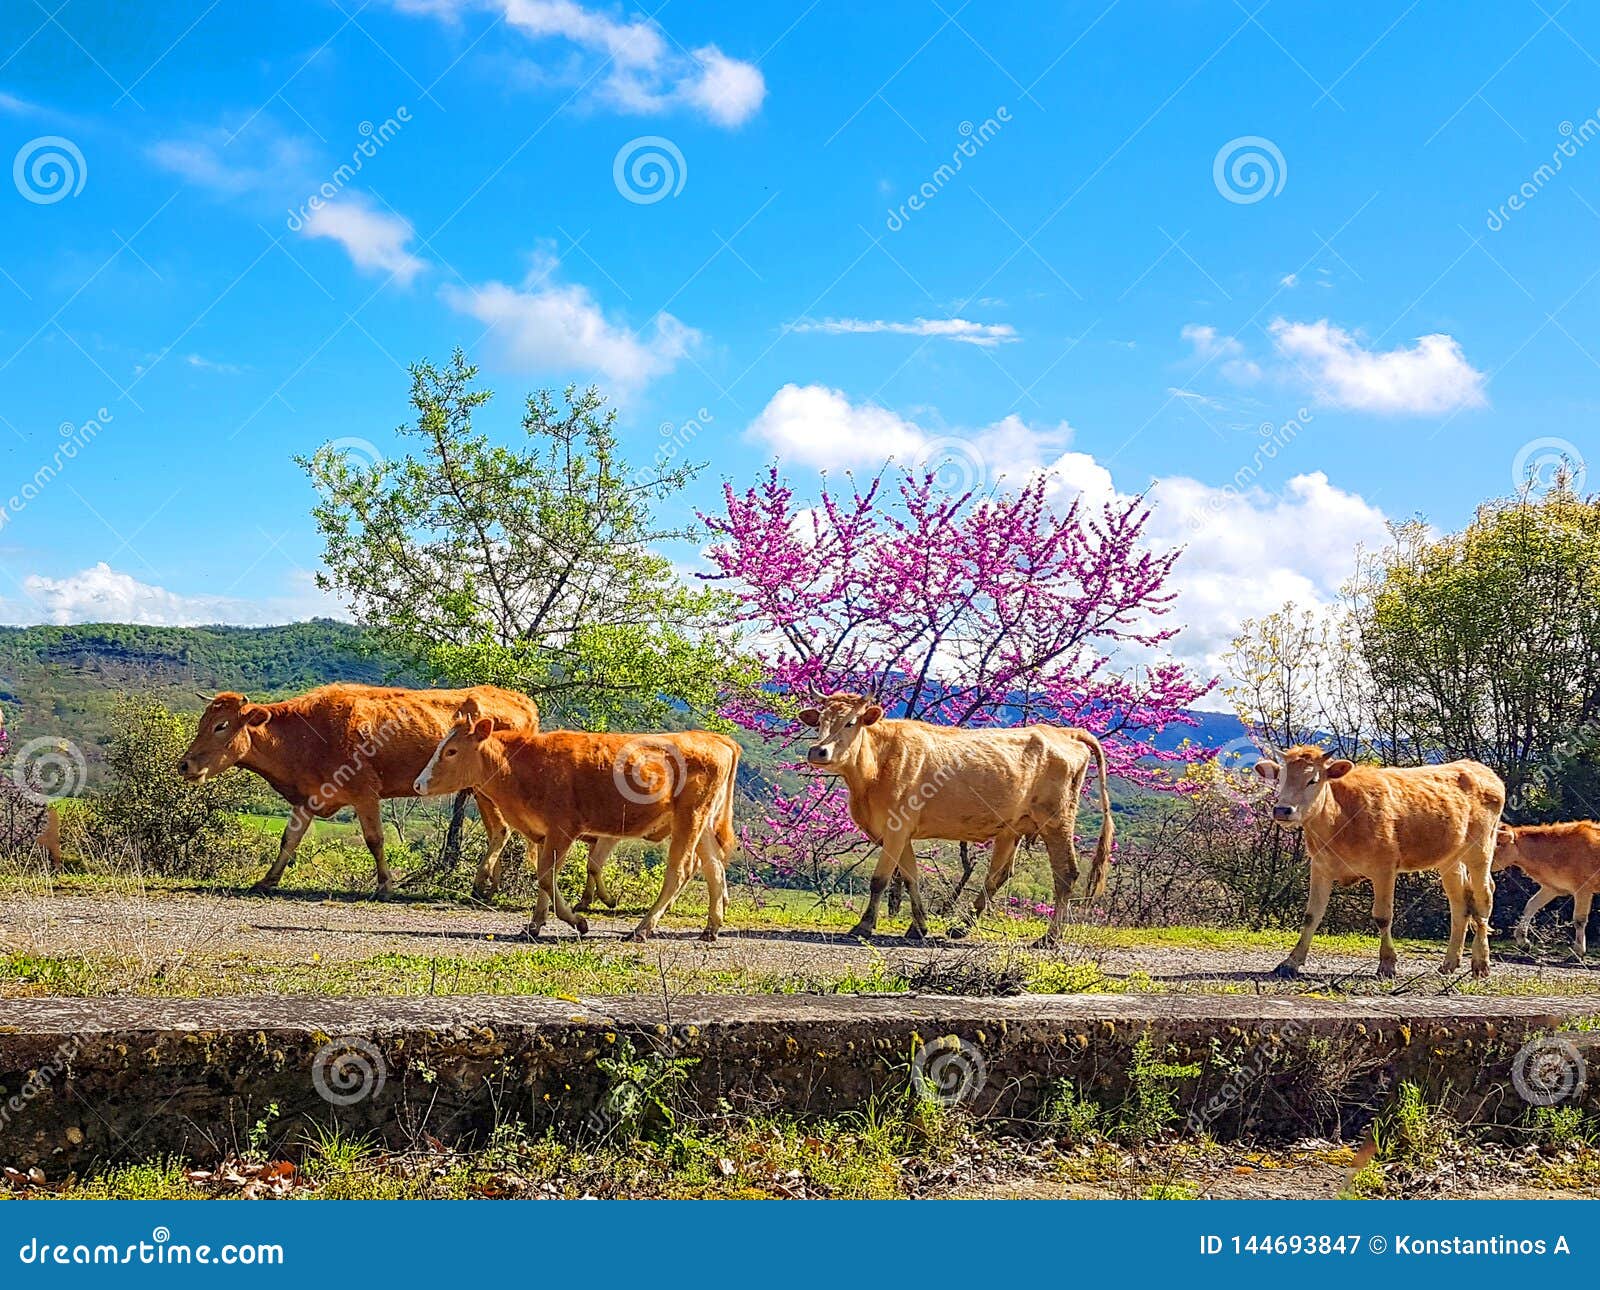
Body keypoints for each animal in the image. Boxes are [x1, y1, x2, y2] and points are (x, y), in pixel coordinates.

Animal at [177, 683, 544, 899]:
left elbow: (374, 840)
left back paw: (482, 885)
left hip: (487, 790)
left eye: (221, 725)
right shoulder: (308, 796)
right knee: (499, 831)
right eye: (201, 723)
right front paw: (268, 880)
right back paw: (490, 886)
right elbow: (289, 840)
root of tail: (520, 699)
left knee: (500, 831)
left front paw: (384, 885)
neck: (304, 735)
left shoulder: (364, 791)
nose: (184, 765)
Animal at [414, 716, 739, 942]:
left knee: (680, 871)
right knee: (713, 868)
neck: (520, 765)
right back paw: (711, 927)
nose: (418, 784)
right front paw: (534, 925)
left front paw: (577, 921)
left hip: (690, 817)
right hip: (702, 822)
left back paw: (642, 929)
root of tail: (715, 739)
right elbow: (544, 878)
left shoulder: (563, 828)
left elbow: (546, 877)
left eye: (451, 751)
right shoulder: (543, 834)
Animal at [798, 693, 1114, 945]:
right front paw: (918, 928)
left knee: (1066, 874)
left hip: (1057, 821)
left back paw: (1049, 938)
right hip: (1012, 828)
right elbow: (911, 878)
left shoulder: (895, 827)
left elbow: (880, 879)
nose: (818, 750)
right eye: (819, 721)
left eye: (851, 722)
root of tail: (1065, 732)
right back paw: (961, 928)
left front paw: (863, 926)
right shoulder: (902, 832)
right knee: (997, 876)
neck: (873, 769)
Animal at [1254, 745, 1504, 979]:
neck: (1340, 818)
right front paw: (1290, 962)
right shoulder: (1320, 867)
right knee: (1459, 903)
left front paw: (1387, 964)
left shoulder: (1383, 869)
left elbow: (1383, 916)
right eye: (1280, 778)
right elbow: (1311, 916)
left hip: (1480, 850)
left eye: (1313, 780)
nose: (1282, 809)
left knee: (1483, 898)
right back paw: (1449, 963)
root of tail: (1479, 768)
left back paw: (1481, 963)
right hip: (1450, 859)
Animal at [1493, 821, 1599, 958]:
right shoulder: (1552, 887)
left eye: (1497, 843)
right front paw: (1523, 941)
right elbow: (1531, 906)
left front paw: (1578, 951)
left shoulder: (1583, 889)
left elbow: (1579, 920)